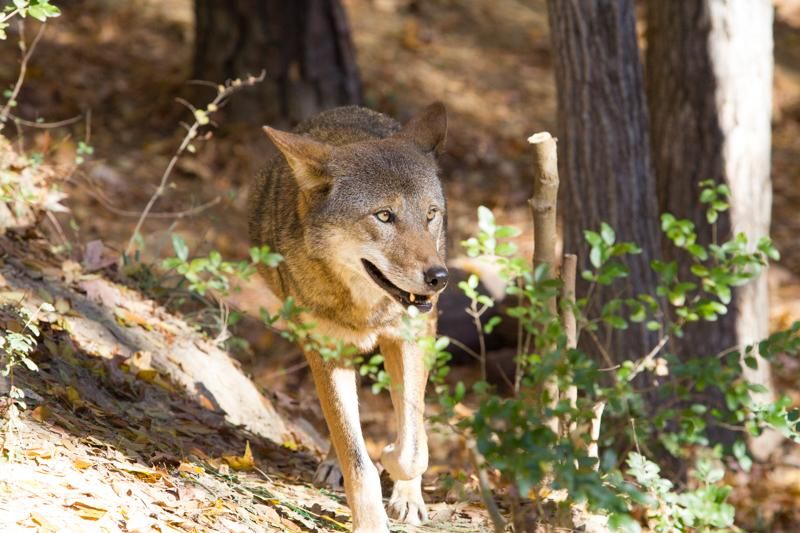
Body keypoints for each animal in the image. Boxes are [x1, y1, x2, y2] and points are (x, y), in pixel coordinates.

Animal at [249, 103, 449, 532]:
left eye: (430, 214)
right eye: (384, 216)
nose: (439, 278)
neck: (364, 308)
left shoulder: (411, 337)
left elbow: (412, 446)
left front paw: (394, 464)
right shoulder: (325, 349)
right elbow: (355, 455)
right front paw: (370, 521)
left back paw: (408, 495)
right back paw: (331, 464)